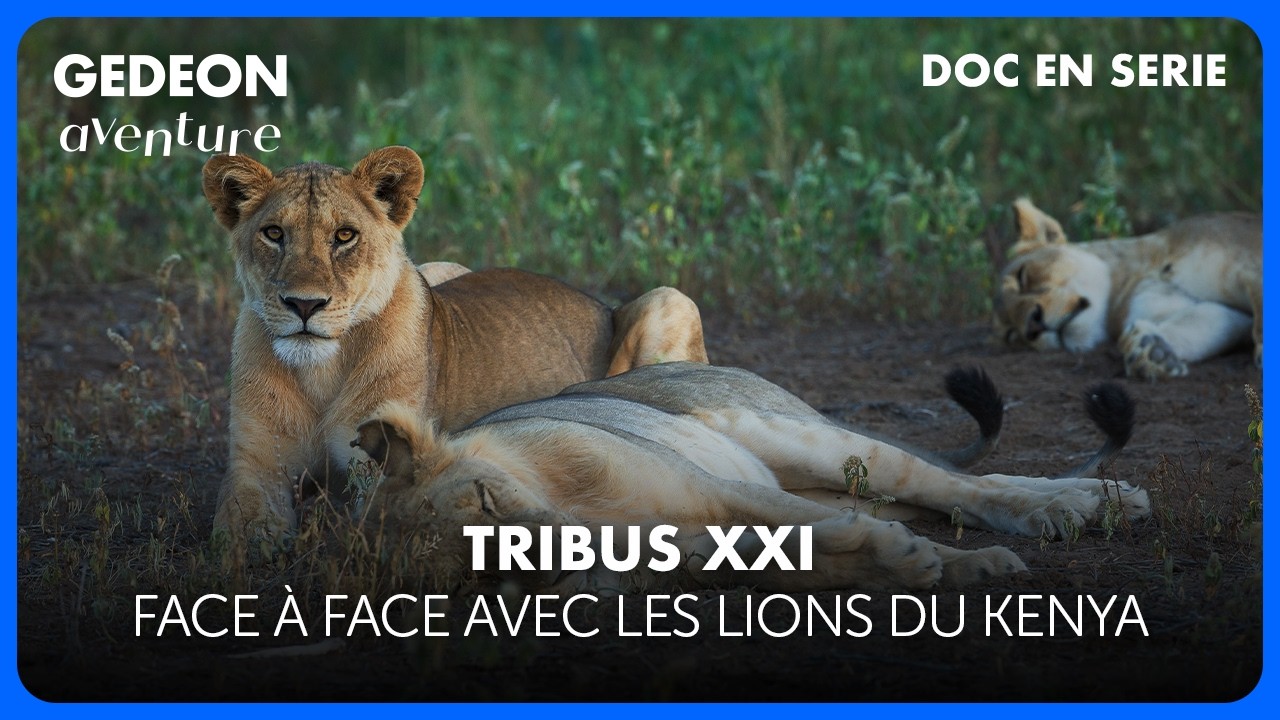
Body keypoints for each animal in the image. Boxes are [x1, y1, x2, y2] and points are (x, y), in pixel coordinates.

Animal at [202, 146, 707, 550]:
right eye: (273, 233)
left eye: (345, 236)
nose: (304, 304)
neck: (319, 374)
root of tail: (597, 302)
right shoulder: (255, 467)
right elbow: (237, 524)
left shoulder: (382, 469)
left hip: (669, 299)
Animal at [354, 362, 1150, 591]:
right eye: (475, 577)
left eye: (485, 499)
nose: (553, 555)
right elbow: (800, 554)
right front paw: (909, 564)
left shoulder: (718, 489)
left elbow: (809, 527)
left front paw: (966, 567)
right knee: (919, 504)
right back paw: (1087, 504)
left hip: (798, 438)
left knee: (956, 488)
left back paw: (1079, 505)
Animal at [993, 198, 1261, 379]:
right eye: (1011, 335)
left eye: (1022, 276)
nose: (1032, 326)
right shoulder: (1223, 311)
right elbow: (1204, 323)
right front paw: (1152, 351)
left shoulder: (1246, 263)